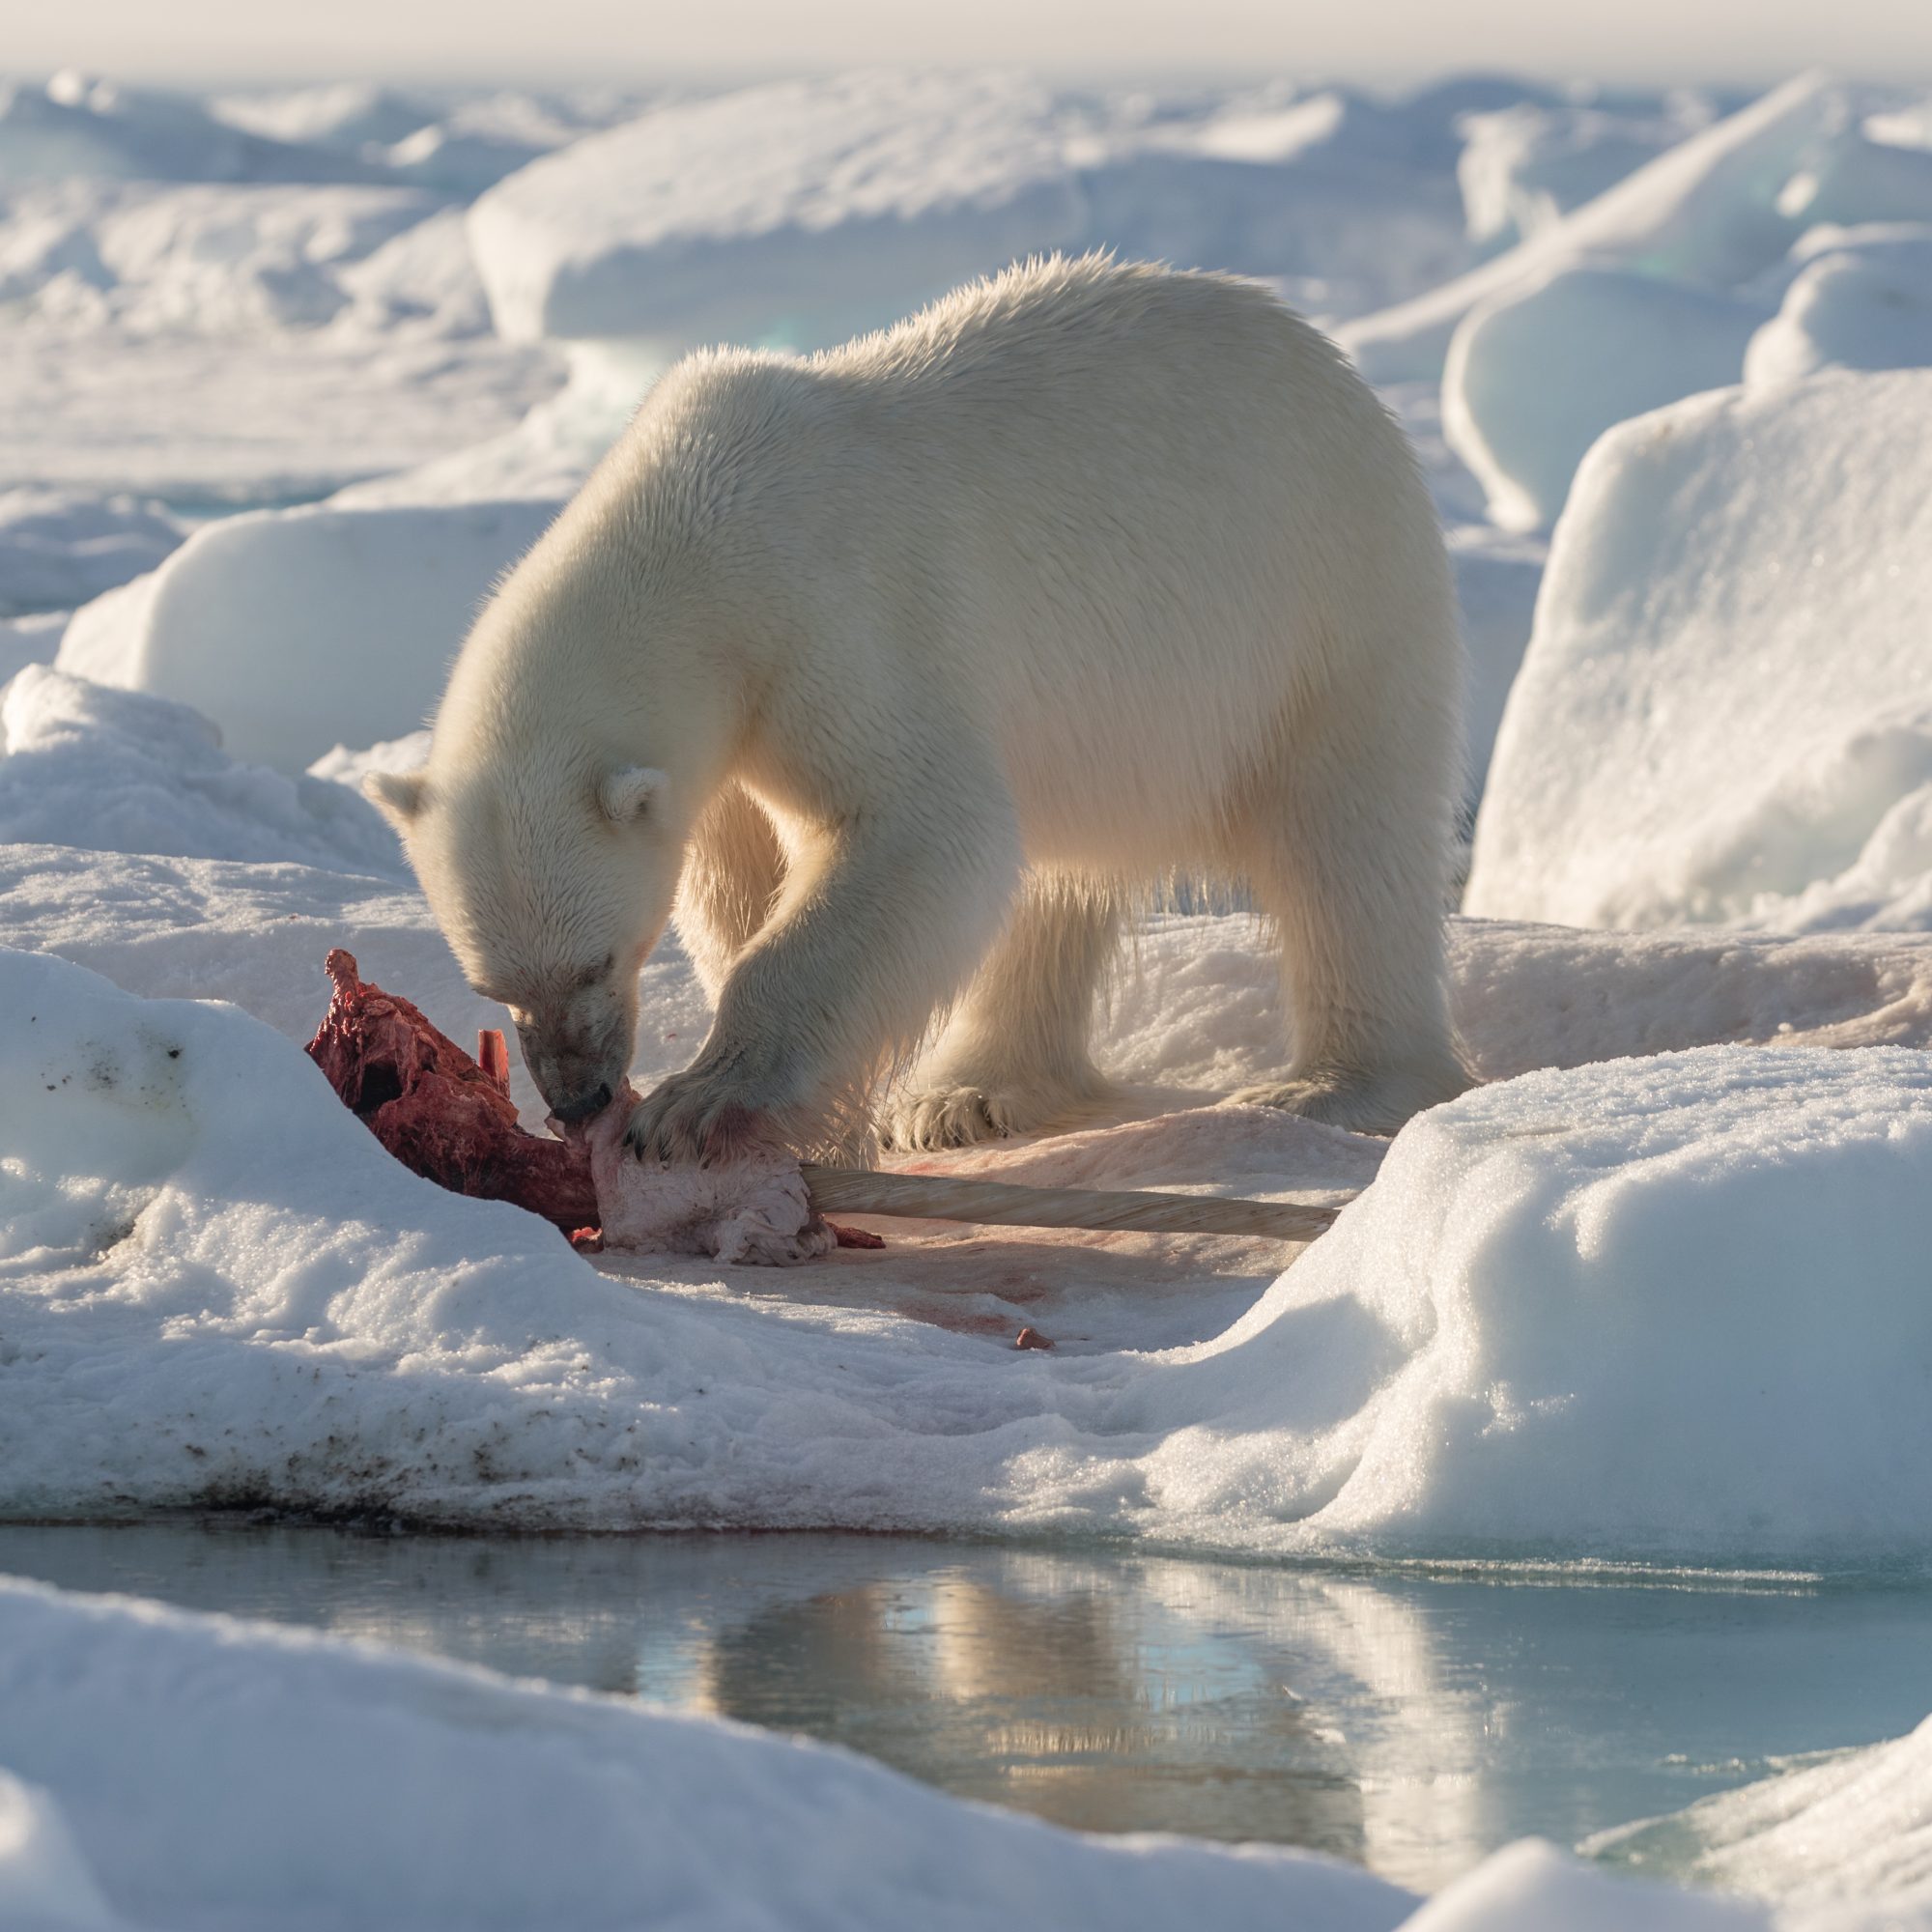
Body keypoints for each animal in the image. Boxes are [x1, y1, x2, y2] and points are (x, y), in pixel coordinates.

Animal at [366, 254, 1470, 1162]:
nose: (578, 1096)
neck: (698, 530)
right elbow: (735, 877)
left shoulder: (832, 623)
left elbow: (917, 828)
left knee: (1345, 843)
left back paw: (1332, 1087)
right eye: (493, 986)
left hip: (1326, 608)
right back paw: (966, 1095)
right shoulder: (721, 749)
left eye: (599, 958)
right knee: (1053, 872)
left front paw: (702, 1102)